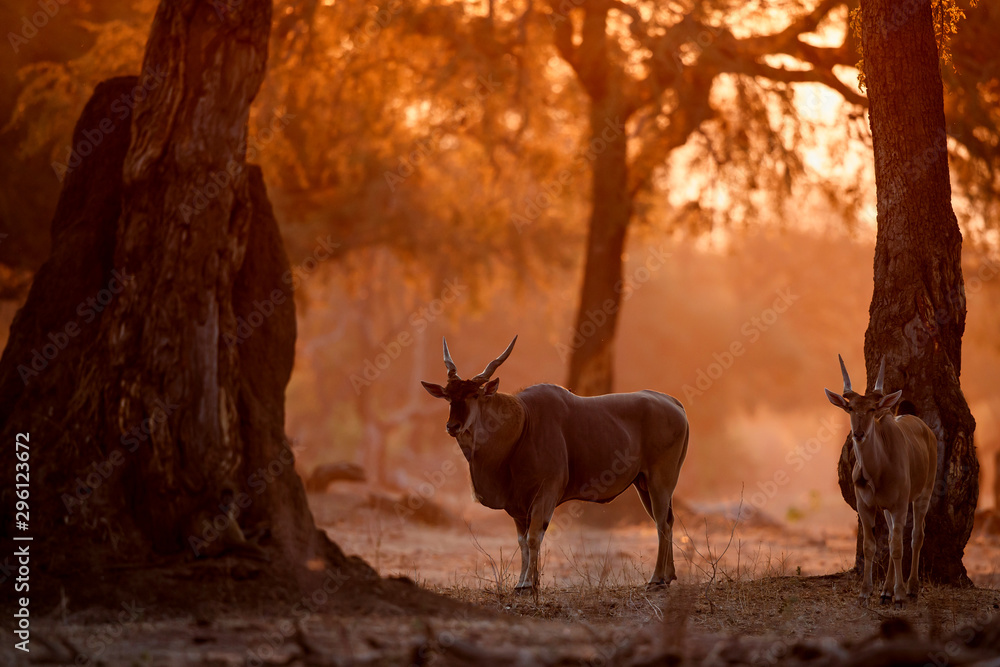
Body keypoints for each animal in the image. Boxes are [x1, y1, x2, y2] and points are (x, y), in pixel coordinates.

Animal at [421, 336, 689, 592]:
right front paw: (522, 582)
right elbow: (522, 542)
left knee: (662, 523)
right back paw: (669, 575)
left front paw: (529, 585)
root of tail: (675, 404)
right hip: (642, 483)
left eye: (474, 395)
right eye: (448, 396)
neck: (523, 423)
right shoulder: (518, 506)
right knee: (666, 520)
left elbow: (533, 537)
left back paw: (656, 579)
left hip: (660, 480)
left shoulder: (546, 492)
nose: (452, 426)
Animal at [824, 355, 937, 607]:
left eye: (872, 408)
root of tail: (926, 429)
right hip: (888, 508)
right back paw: (886, 591)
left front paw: (900, 595)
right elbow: (870, 546)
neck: (877, 471)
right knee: (896, 535)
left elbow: (897, 546)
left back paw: (911, 588)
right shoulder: (865, 506)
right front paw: (866, 592)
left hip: (923, 493)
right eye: (850, 408)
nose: (858, 434)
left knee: (916, 536)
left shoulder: (900, 504)